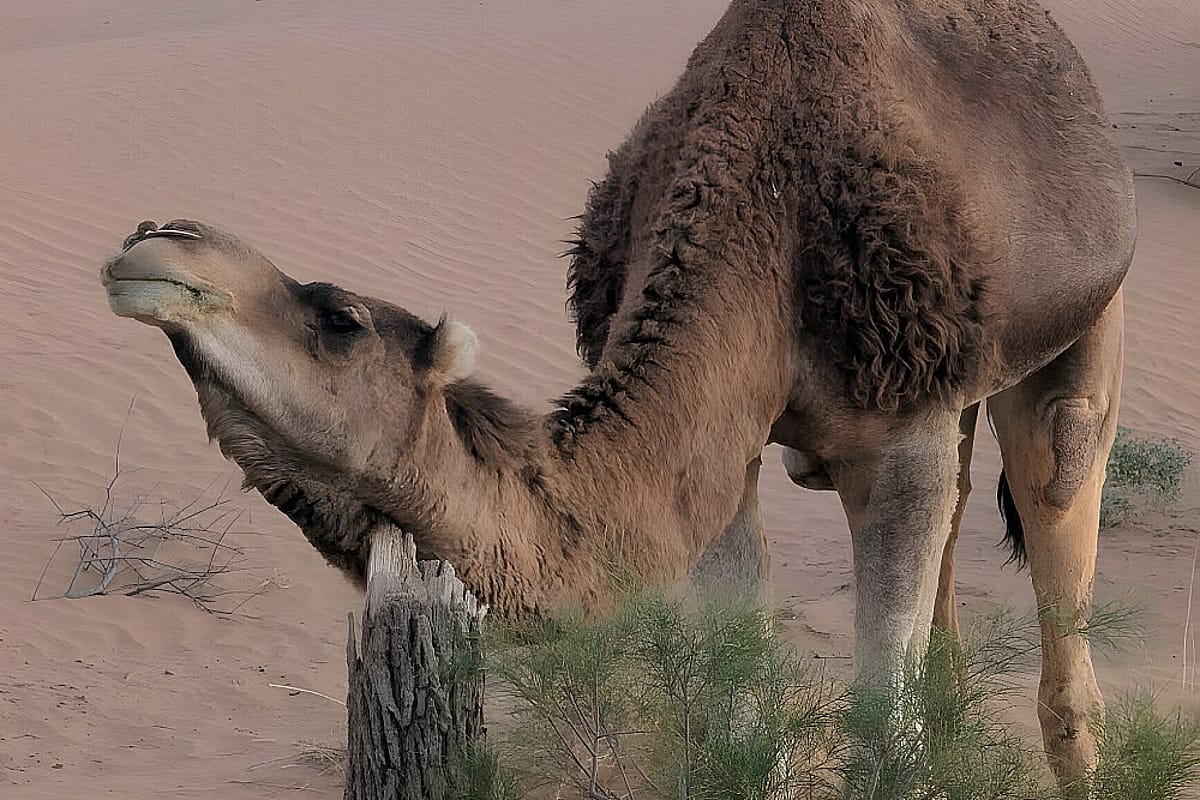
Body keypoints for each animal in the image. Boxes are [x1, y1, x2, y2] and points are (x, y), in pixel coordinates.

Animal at [100, 0, 1134, 790]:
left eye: (340, 317)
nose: (156, 236)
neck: (760, 218)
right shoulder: (725, 451)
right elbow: (739, 718)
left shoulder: (899, 417)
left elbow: (885, 736)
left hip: (1082, 315)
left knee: (1058, 486)